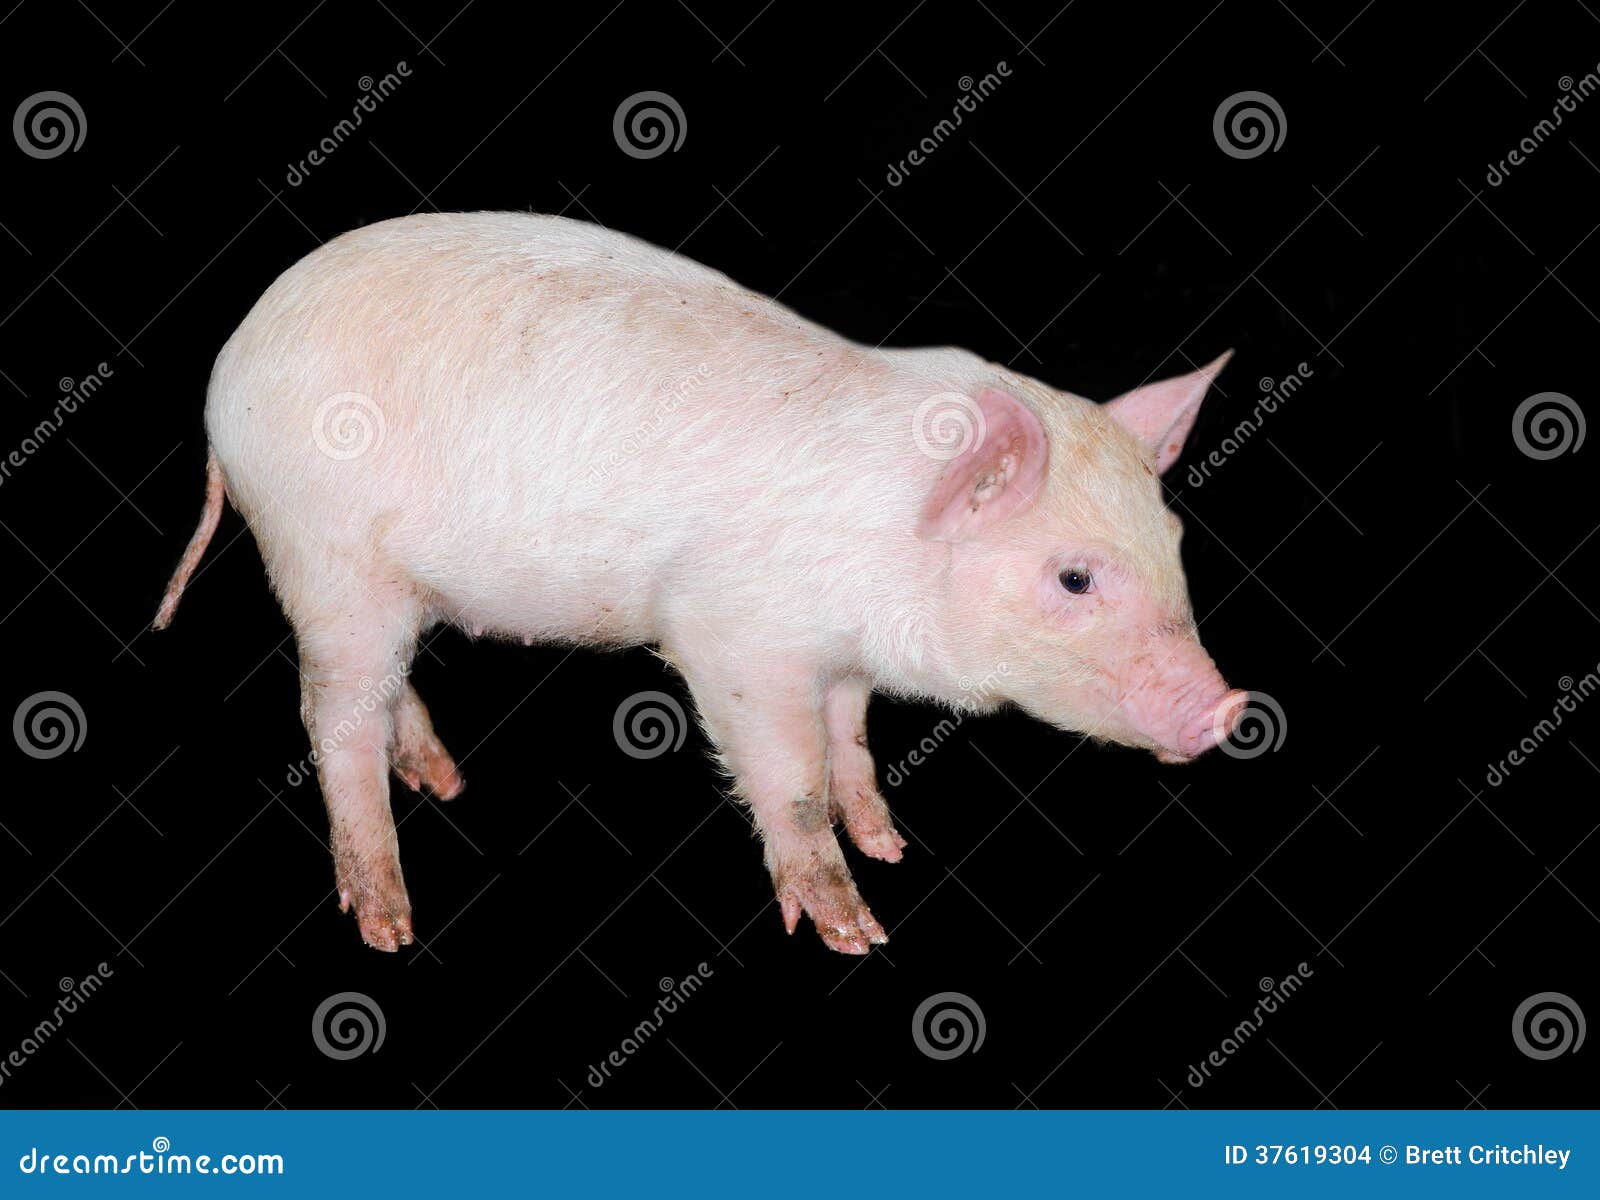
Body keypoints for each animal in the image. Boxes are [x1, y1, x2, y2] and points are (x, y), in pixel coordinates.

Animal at [152, 213, 1246, 954]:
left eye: (1173, 542)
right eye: (1075, 577)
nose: (1229, 706)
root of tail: (226, 373)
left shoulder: (843, 657)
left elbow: (850, 740)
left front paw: (890, 845)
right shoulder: (734, 638)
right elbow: (791, 779)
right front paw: (857, 933)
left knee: (379, 693)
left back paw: (447, 781)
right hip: (325, 551)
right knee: (332, 712)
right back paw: (389, 922)